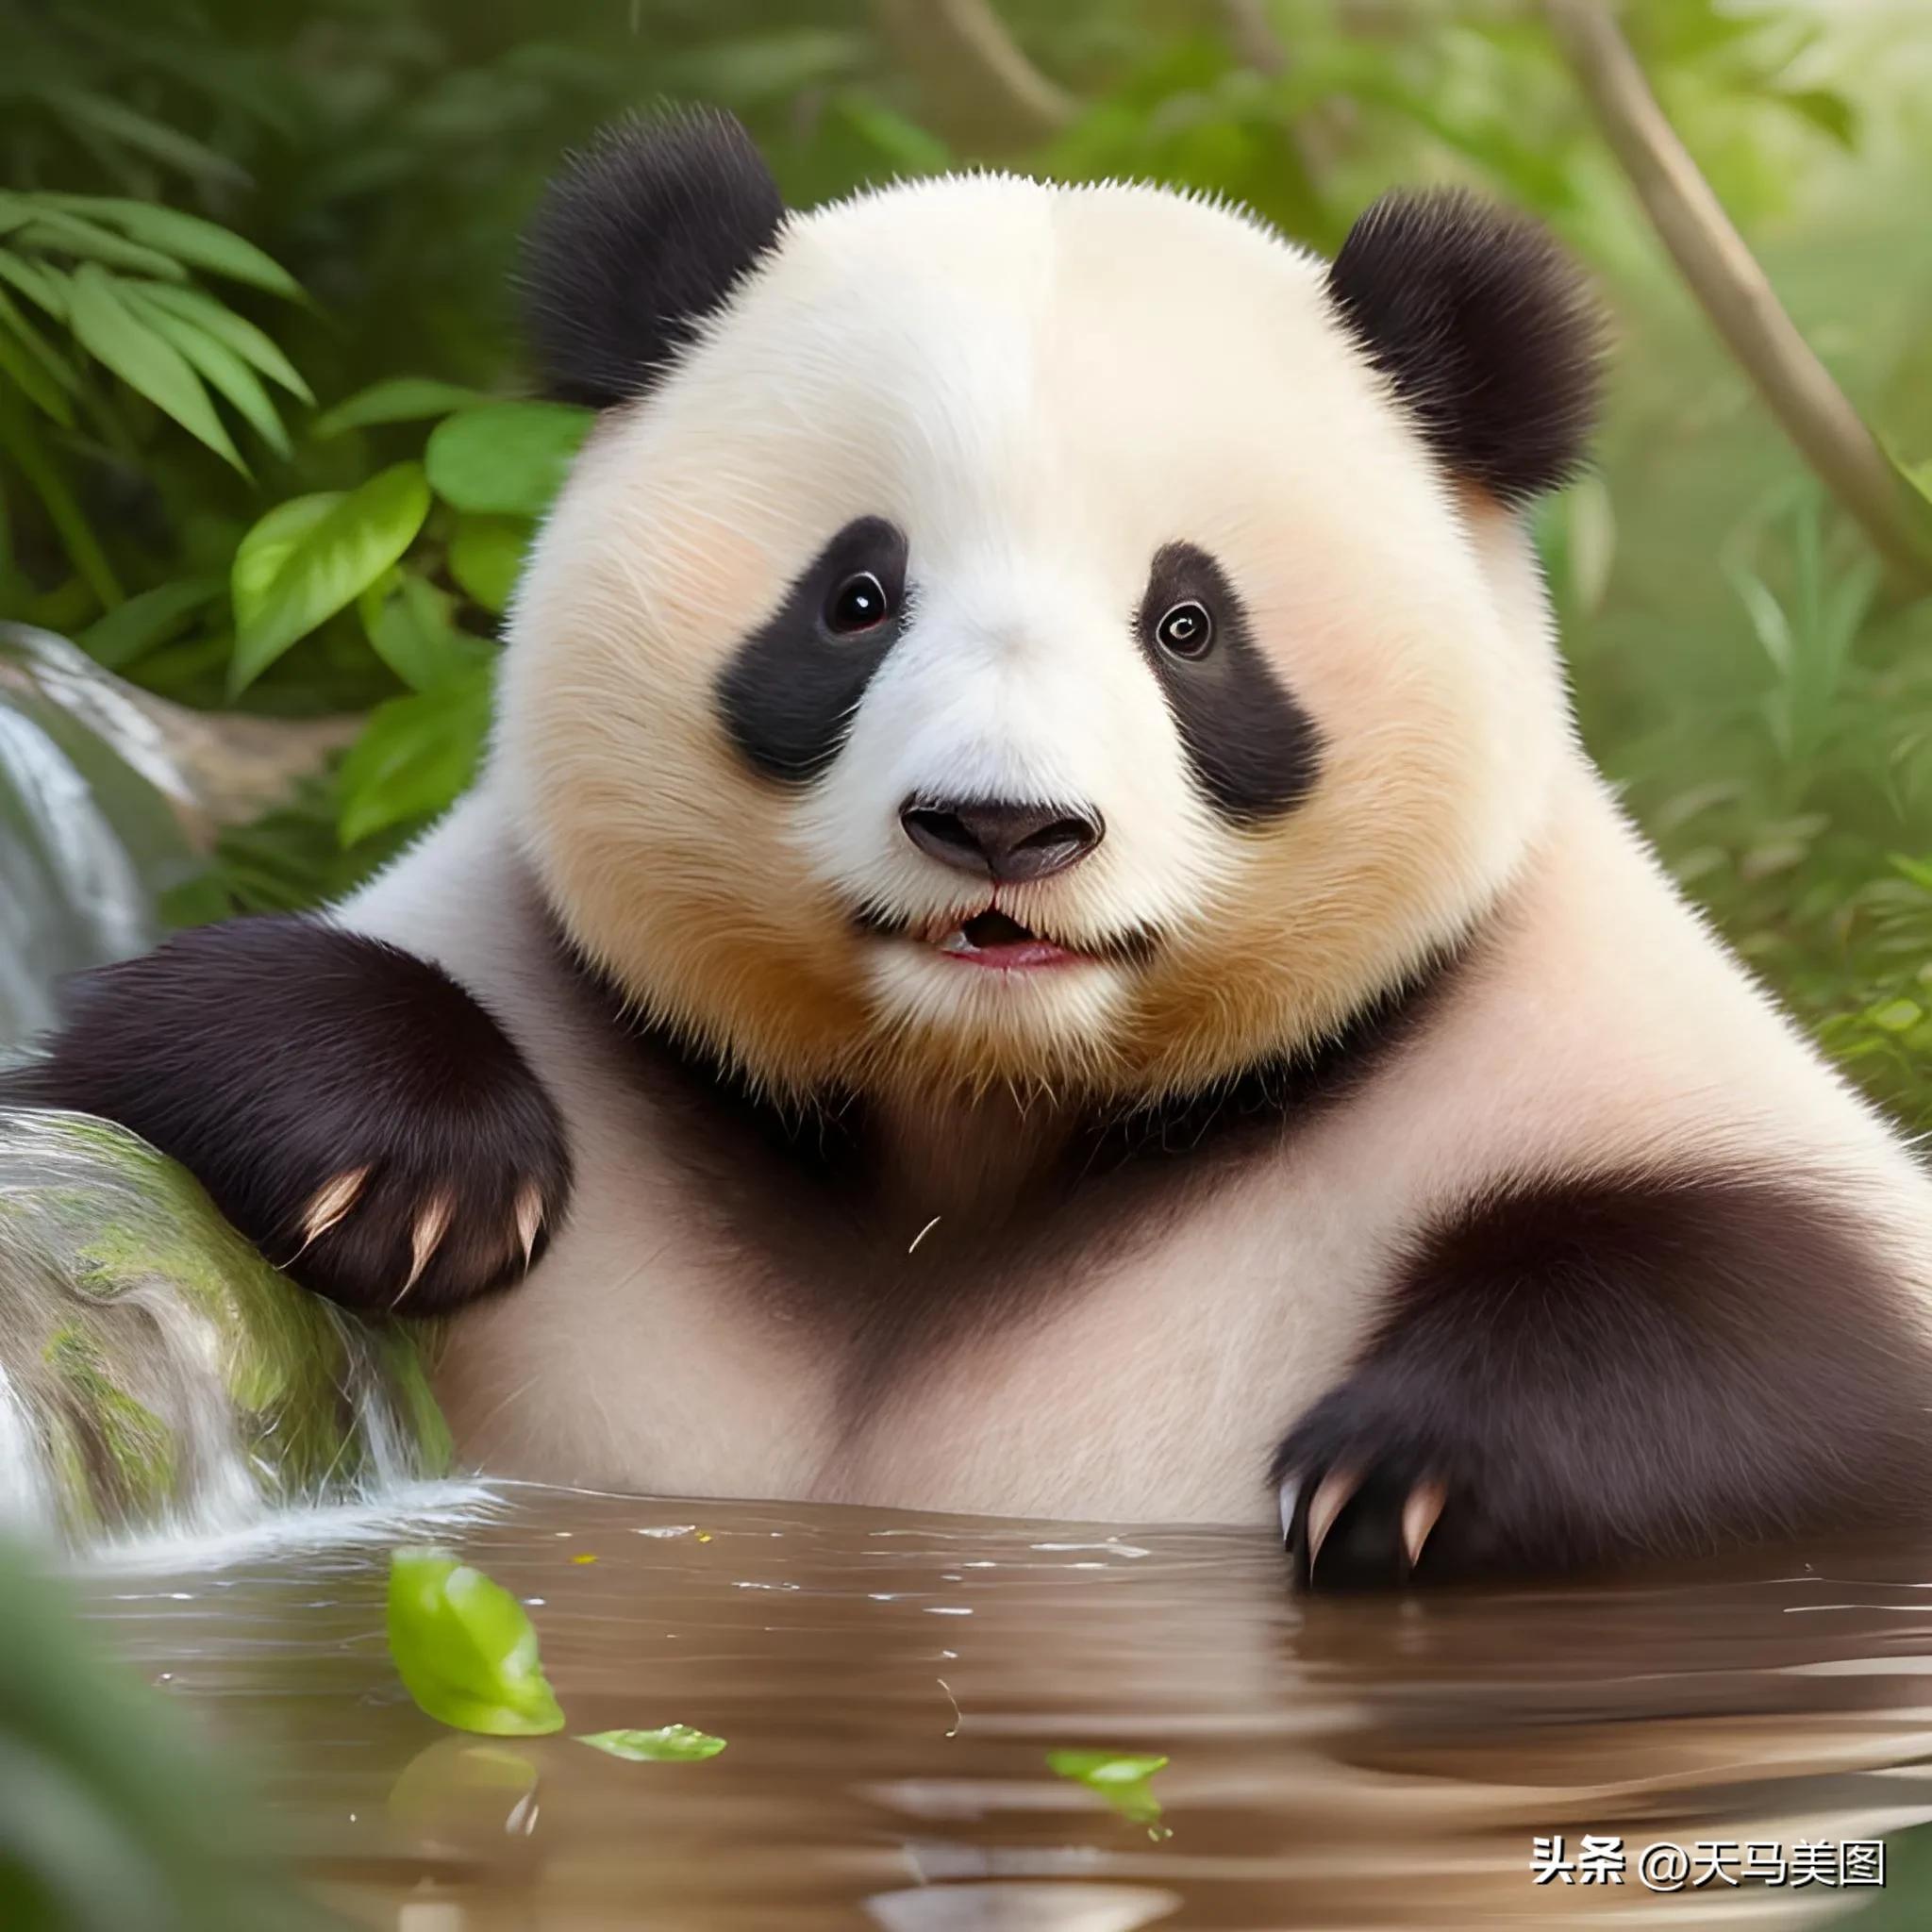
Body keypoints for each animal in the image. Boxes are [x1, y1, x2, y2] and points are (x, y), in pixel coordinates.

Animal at [15, 107, 1932, 1589]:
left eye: (1187, 626)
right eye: (855, 597)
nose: (1003, 825)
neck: (979, 1105)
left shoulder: (1503, 1039)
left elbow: (1803, 1320)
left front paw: (1408, 1469)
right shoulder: (591, 1007)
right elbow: (142, 1045)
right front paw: (418, 1176)